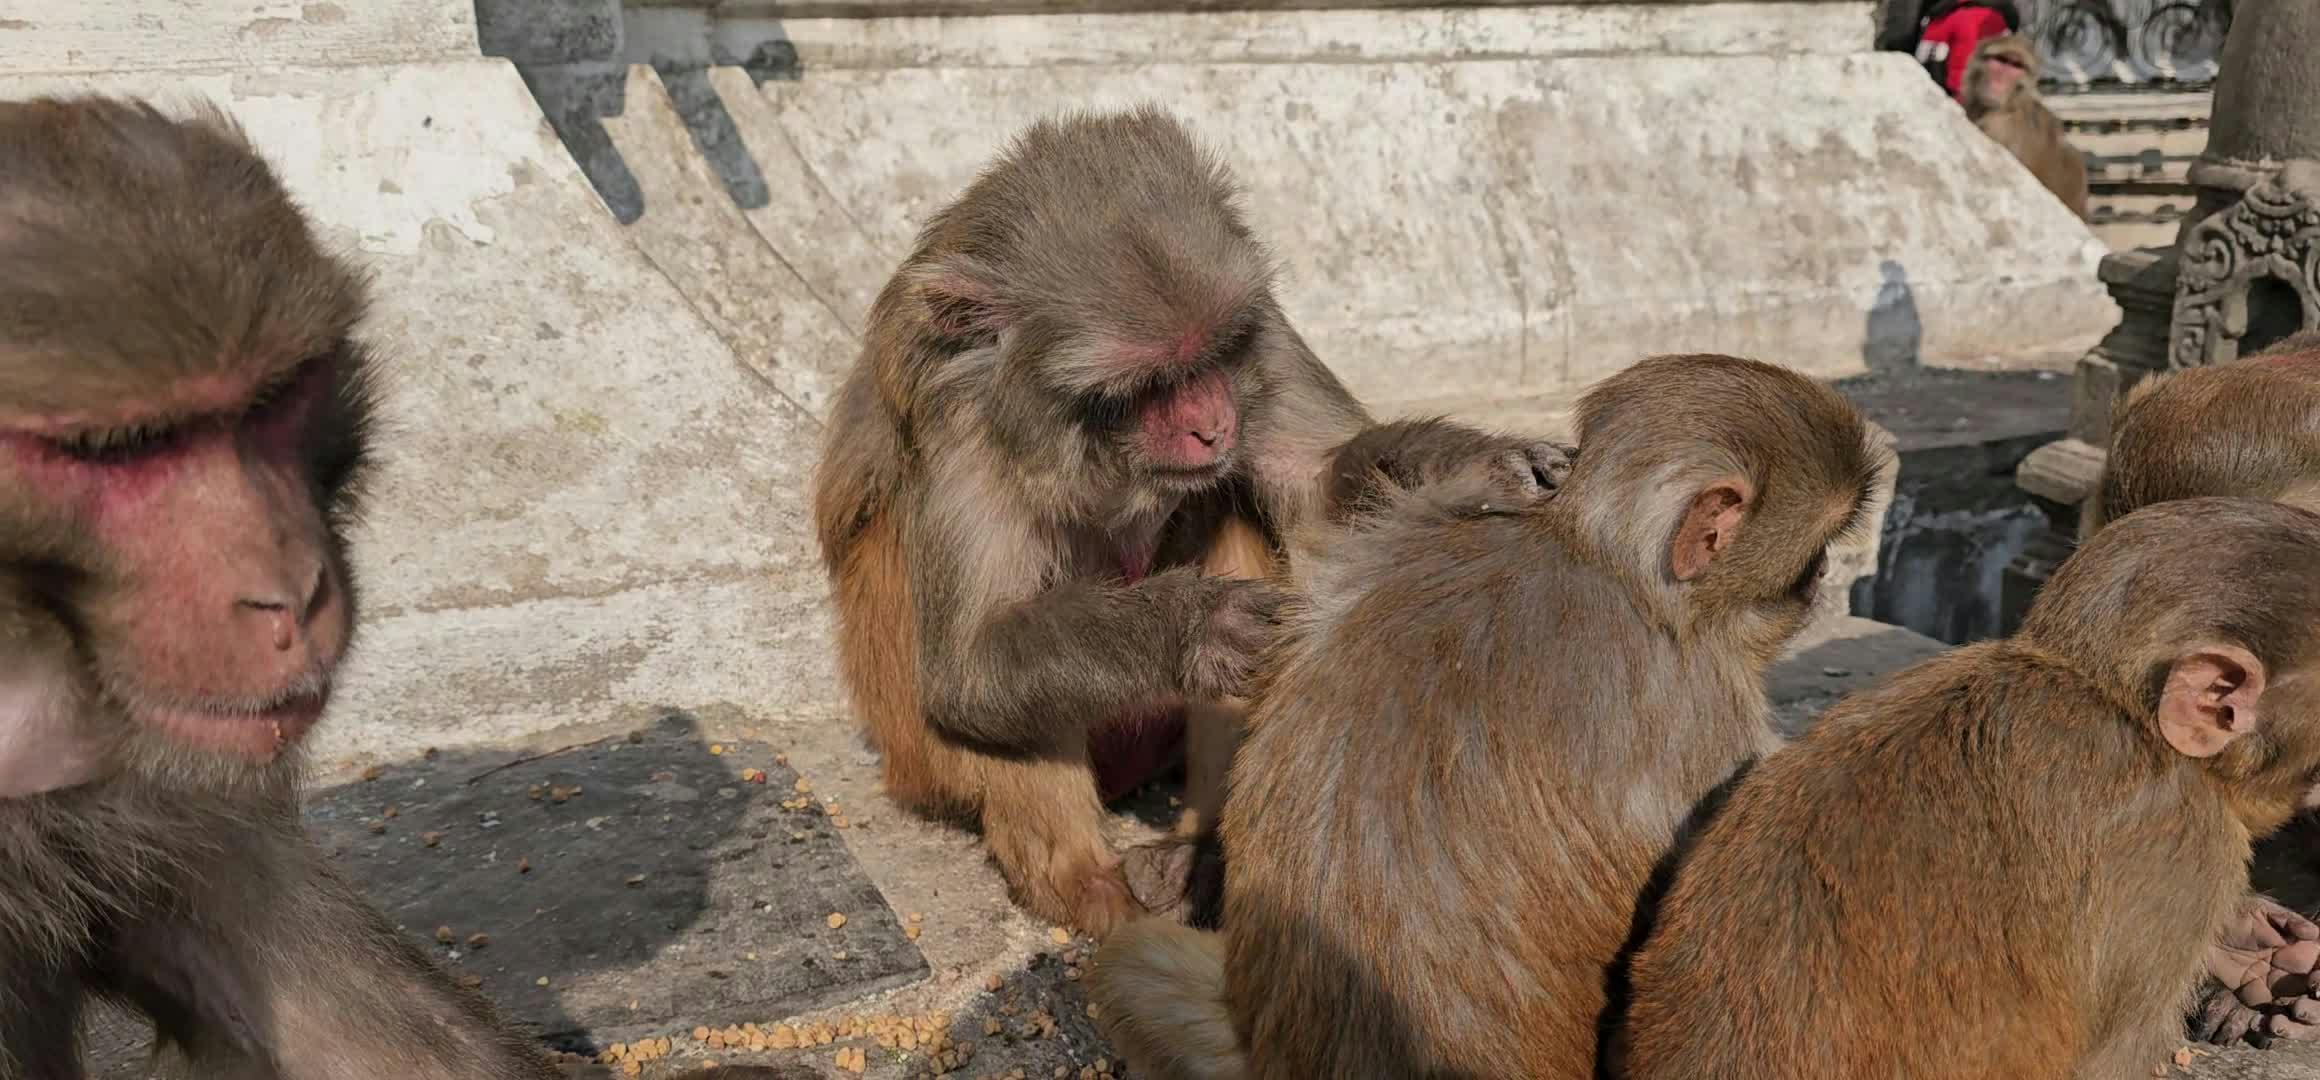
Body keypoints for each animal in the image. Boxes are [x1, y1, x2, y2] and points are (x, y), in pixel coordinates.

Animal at [811, 104, 1571, 936]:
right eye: (1149, 385)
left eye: (1211, 354)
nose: (1213, 425)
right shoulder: (959, 419)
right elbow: (972, 665)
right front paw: (1202, 627)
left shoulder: (1261, 330)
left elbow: (1316, 486)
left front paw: (1472, 468)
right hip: (920, 754)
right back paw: (1087, 890)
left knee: (1230, 506)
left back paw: (1203, 853)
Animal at [1089, 352, 1888, 1078]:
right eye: (1813, 554)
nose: (1823, 577)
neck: (1591, 550)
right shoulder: (1702, 703)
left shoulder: (1398, 531)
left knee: (1131, 964)